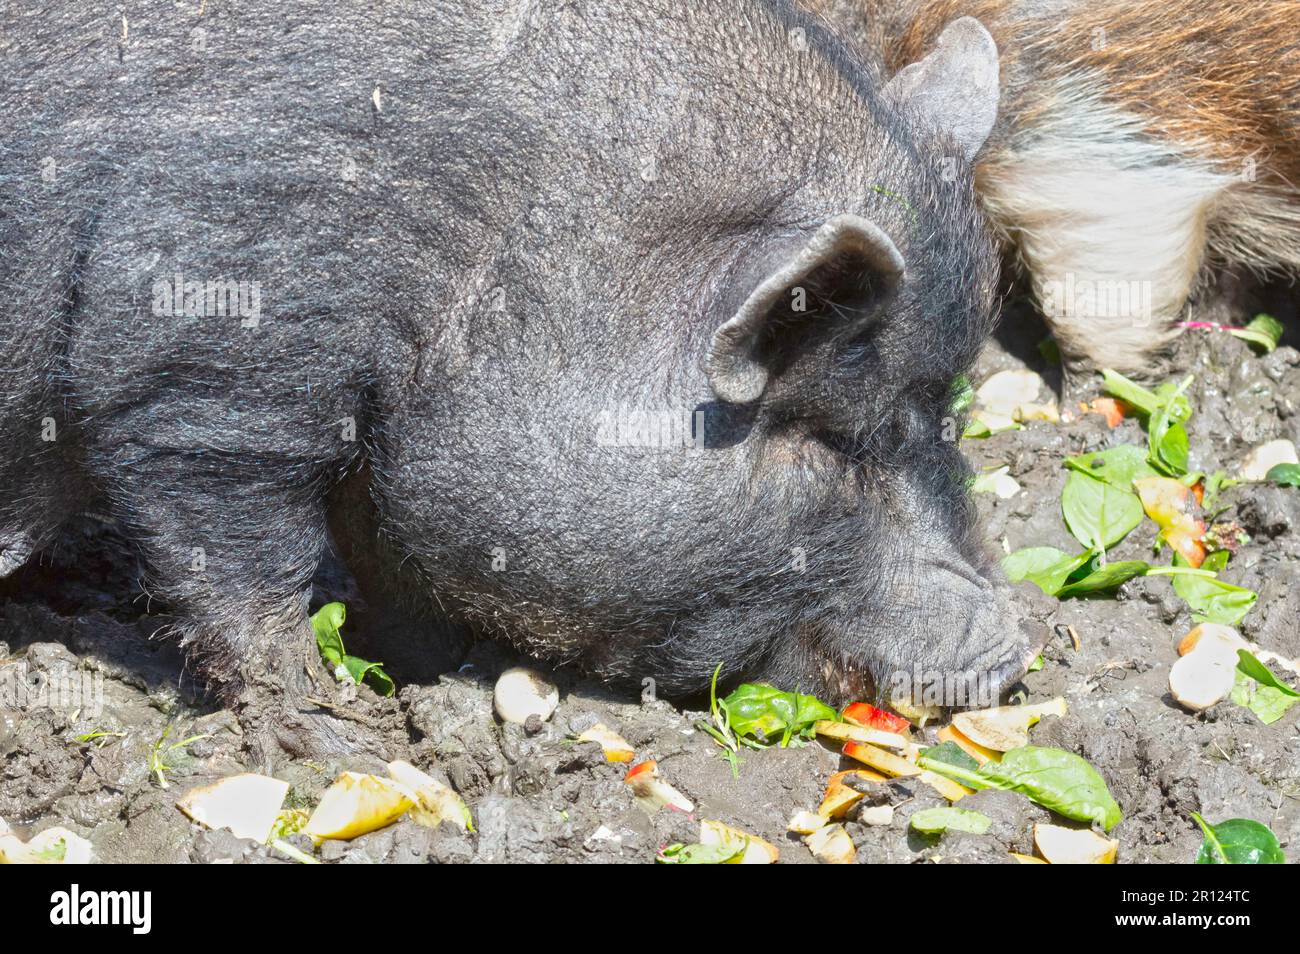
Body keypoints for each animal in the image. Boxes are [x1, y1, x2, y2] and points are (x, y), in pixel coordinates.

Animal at [0, 0, 1046, 757]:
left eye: (948, 407)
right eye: (827, 439)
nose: (1009, 651)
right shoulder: (205, 359)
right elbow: (237, 558)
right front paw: (336, 731)